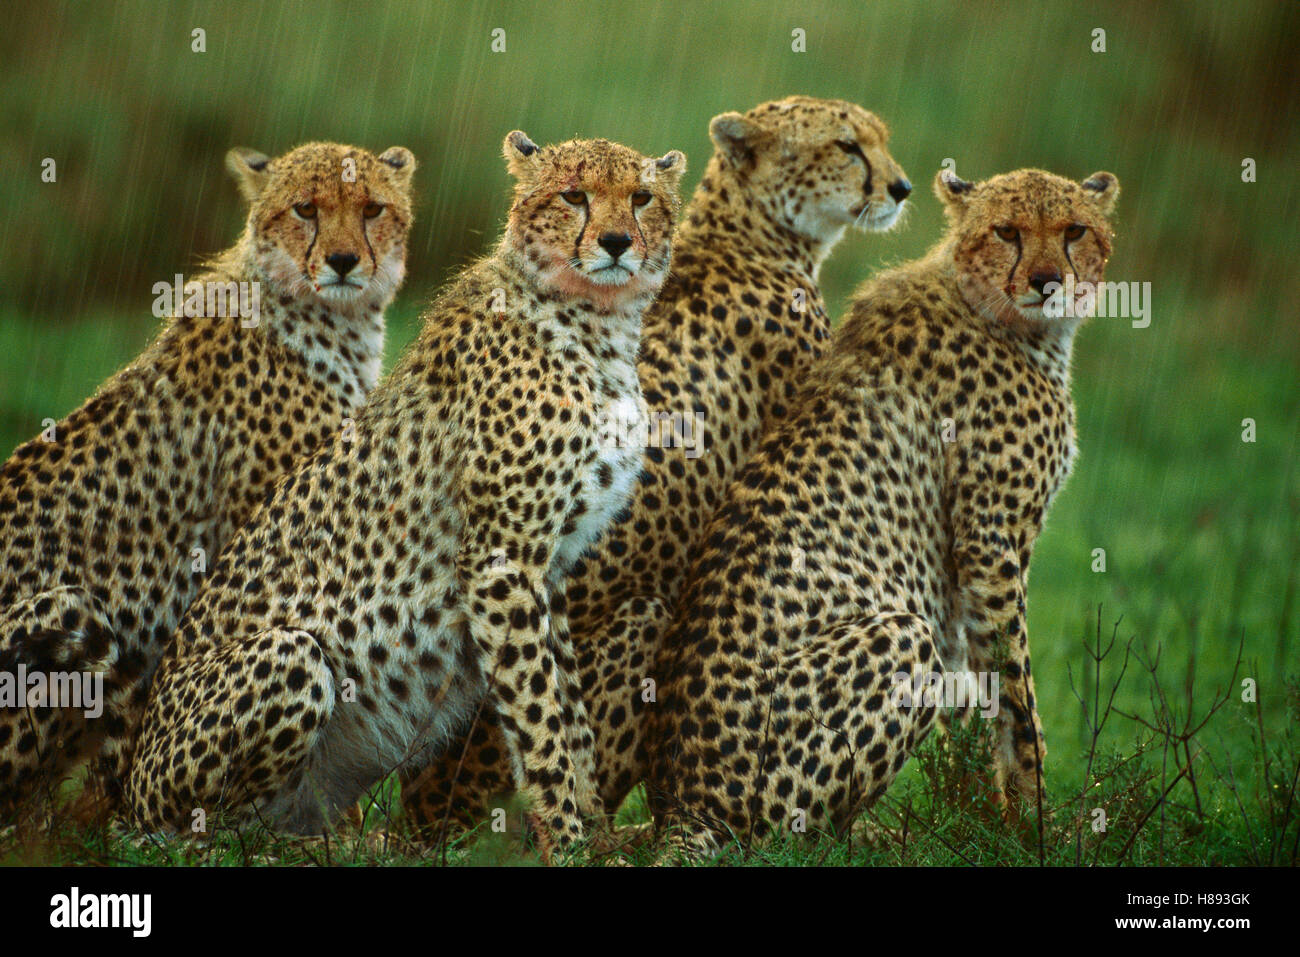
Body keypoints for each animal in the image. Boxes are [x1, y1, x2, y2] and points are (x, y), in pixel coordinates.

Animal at [124, 132, 686, 862]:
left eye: (642, 197)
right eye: (574, 195)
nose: (617, 242)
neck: (597, 321)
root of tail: (129, 790)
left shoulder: (551, 566)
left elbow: (568, 705)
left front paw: (595, 828)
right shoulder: (502, 562)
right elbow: (538, 717)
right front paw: (567, 839)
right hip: (291, 656)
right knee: (209, 831)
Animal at [643, 164, 1120, 856]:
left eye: (1075, 230)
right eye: (1007, 231)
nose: (1048, 280)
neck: (990, 306)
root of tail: (679, 805)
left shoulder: (959, 569)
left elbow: (972, 697)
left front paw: (975, 818)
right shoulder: (992, 542)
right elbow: (1017, 696)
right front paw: (1034, 825)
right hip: (896, 641)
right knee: (782, 844)